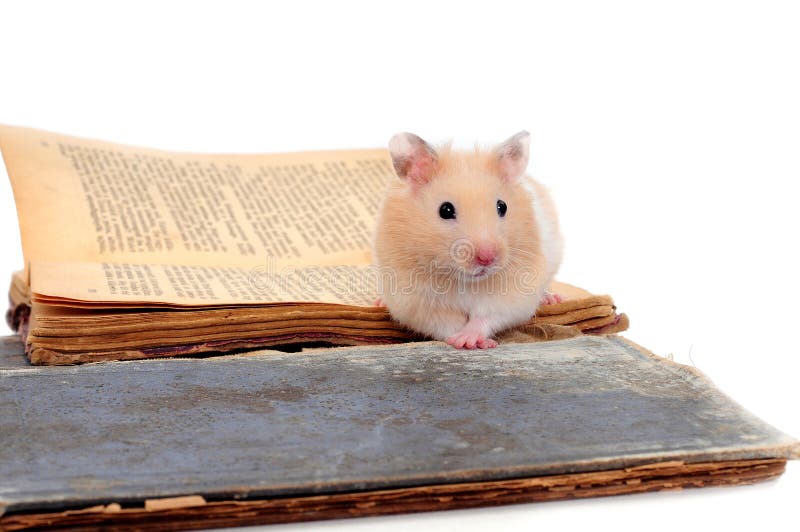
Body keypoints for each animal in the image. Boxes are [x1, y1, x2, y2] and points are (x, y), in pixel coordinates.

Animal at [373, 131, 564, 349]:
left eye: (502, 206)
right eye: (445, 210)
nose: (487, 258)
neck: (463, 281)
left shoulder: (513, 296)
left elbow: (487, 316)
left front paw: (472, 340)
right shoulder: (417, 302)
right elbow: (446, 324)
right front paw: (461, 341)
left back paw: (553, 299)